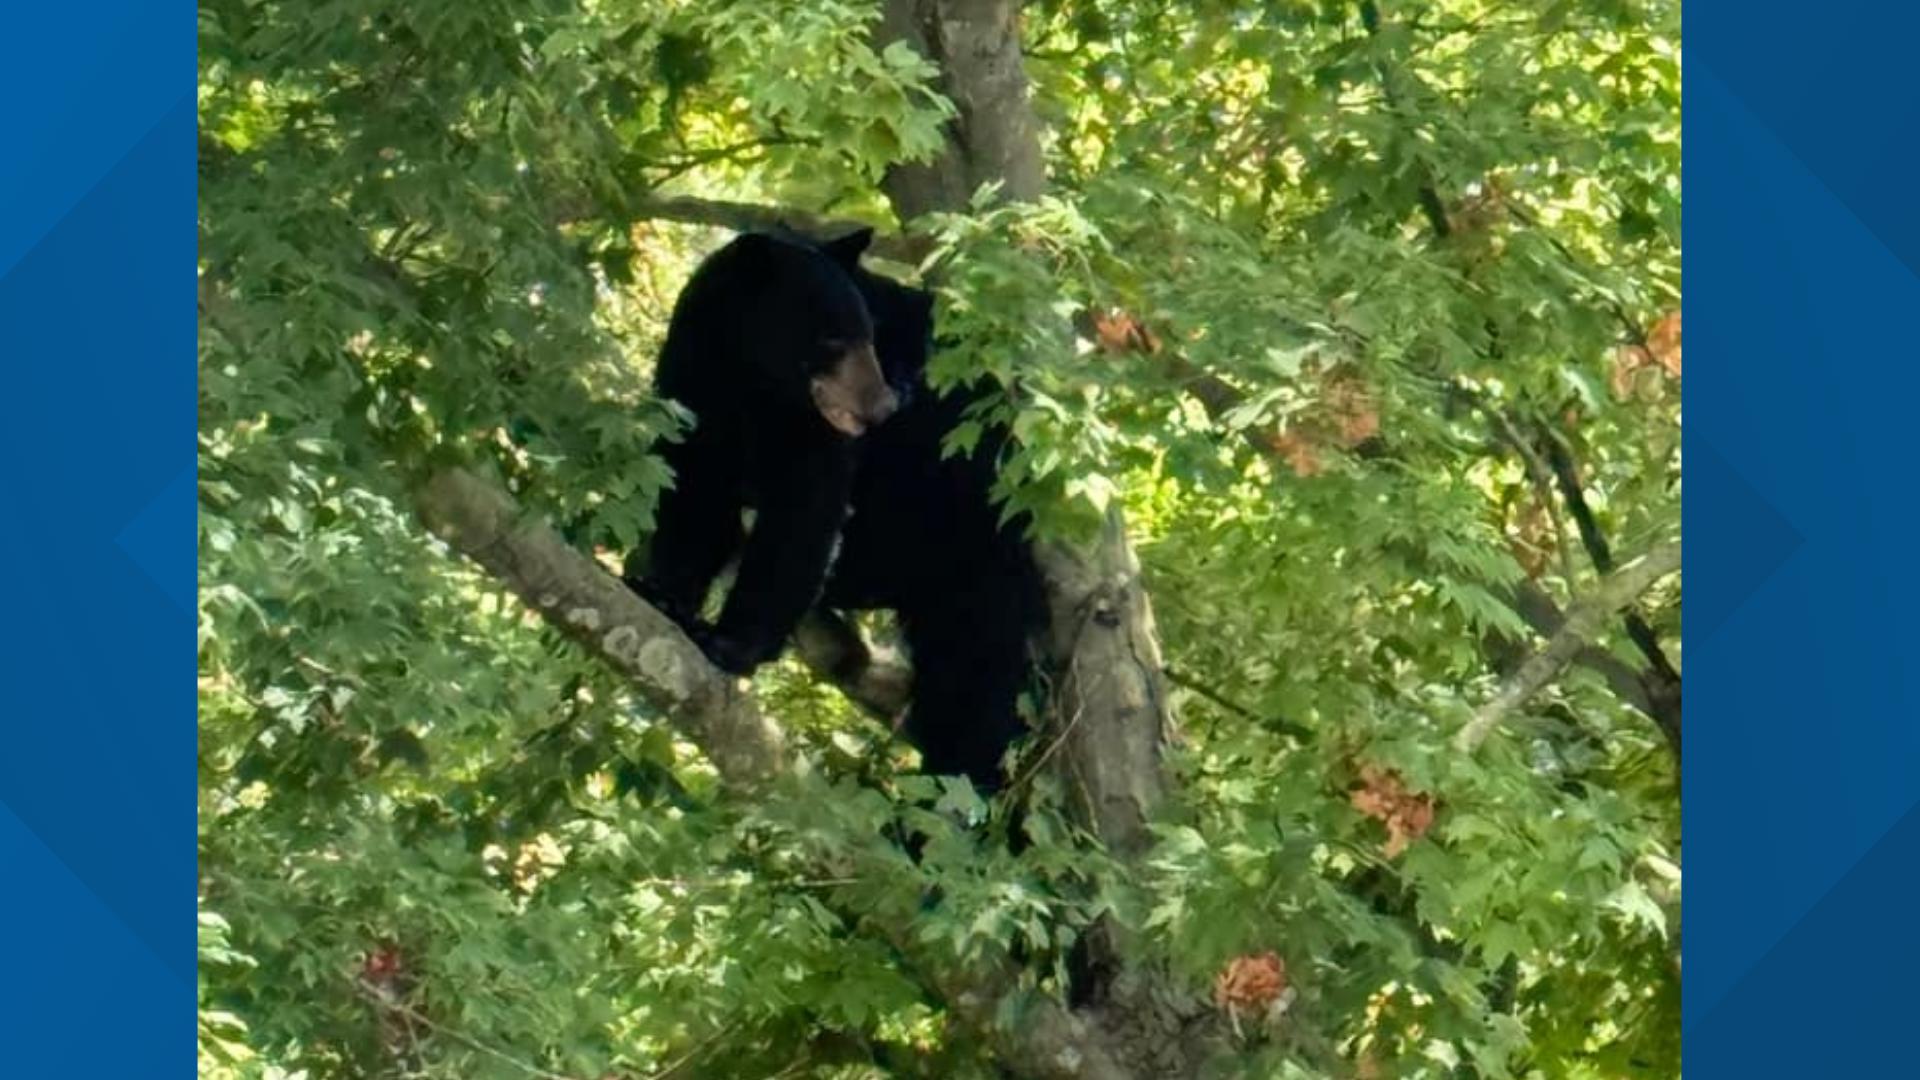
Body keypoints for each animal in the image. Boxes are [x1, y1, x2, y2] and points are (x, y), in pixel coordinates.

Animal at [624, 230, 900, 676]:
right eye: (831, 337)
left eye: (869, 334)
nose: (882, 407)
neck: (753, 387)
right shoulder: (693, 400)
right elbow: (695, 494)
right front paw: (665, 597)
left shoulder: (810, 434)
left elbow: (799, 519)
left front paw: (731, 643)